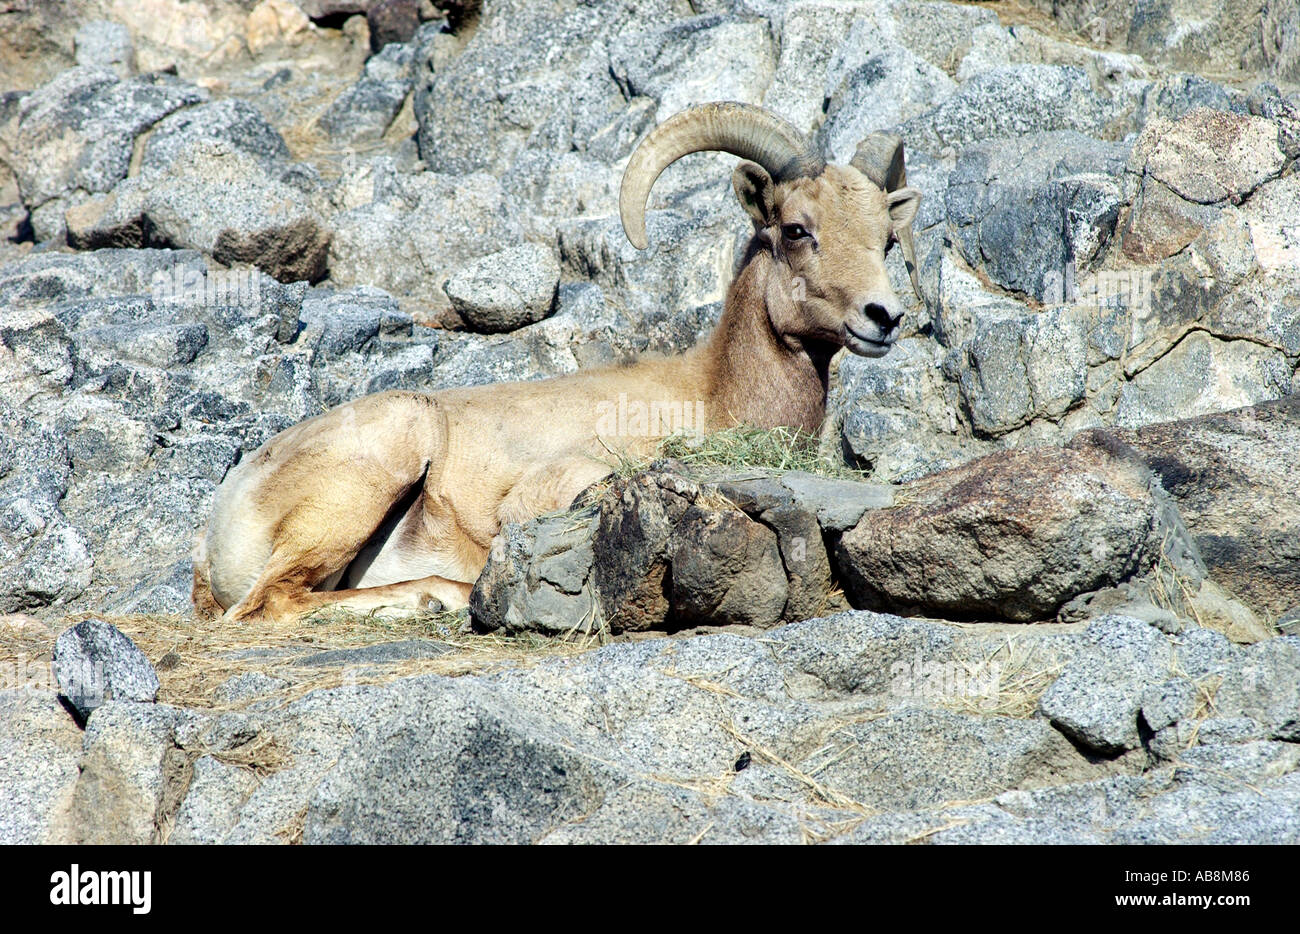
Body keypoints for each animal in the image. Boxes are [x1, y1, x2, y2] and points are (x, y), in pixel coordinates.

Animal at [192, 101, 923, 624]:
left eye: (886, 238)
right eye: (797, 230)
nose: (884, 318)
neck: (710, 389)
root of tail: (224, 517)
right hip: (377, 467)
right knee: (271, 603)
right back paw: (434, 597)